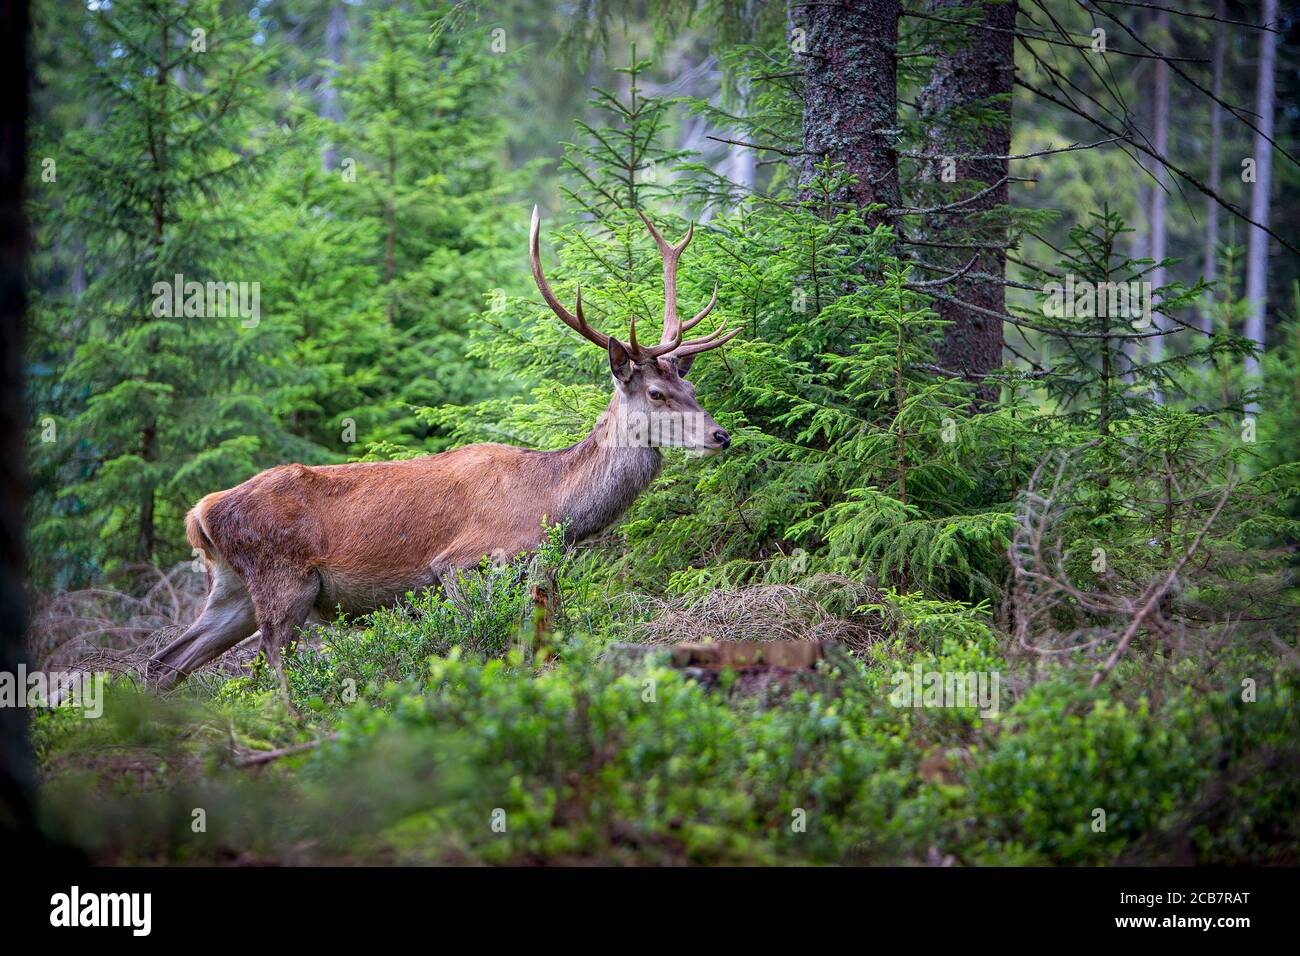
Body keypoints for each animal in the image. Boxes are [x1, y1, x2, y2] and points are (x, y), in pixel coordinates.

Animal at [144, 206, 738, 694]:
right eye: (656, 393)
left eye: (691, 386)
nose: (721, 436)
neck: (555, 507)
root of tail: (200, 512)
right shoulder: (463, 564)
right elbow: (483, 648)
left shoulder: (539, 573)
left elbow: (542, 648)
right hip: (282, 581)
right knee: (272, 661)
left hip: (231, 589)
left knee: (165, 662)